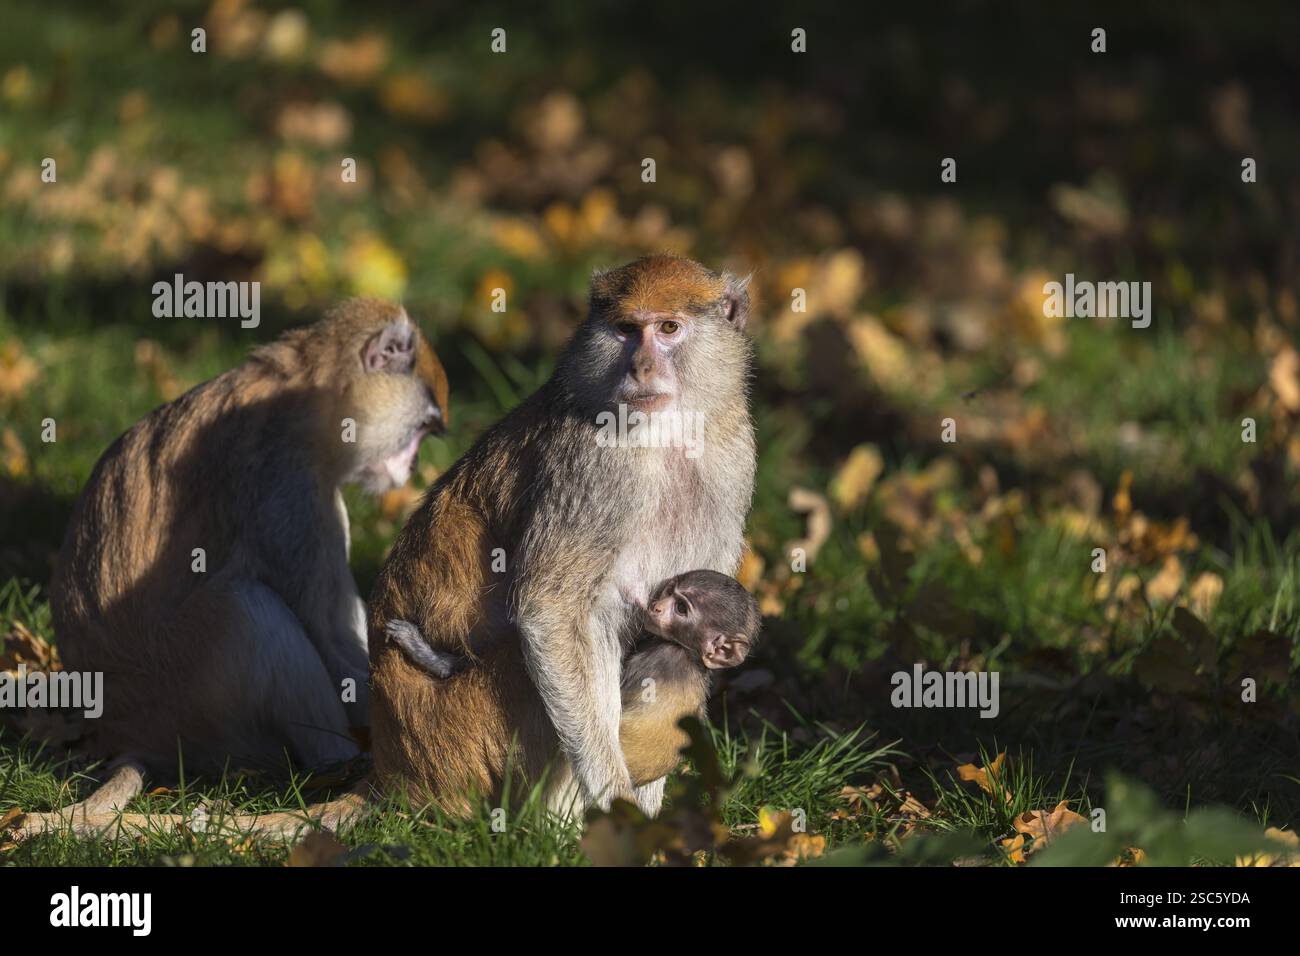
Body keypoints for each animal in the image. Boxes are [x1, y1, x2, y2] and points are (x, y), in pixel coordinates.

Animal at [45, 298, 449, 817]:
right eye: (420, 430)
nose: (411, 466)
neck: (300, 398)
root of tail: (126, 732)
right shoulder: (286, 485)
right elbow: (327, 632)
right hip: (190, 710)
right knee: (244, 608)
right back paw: (337, 760)